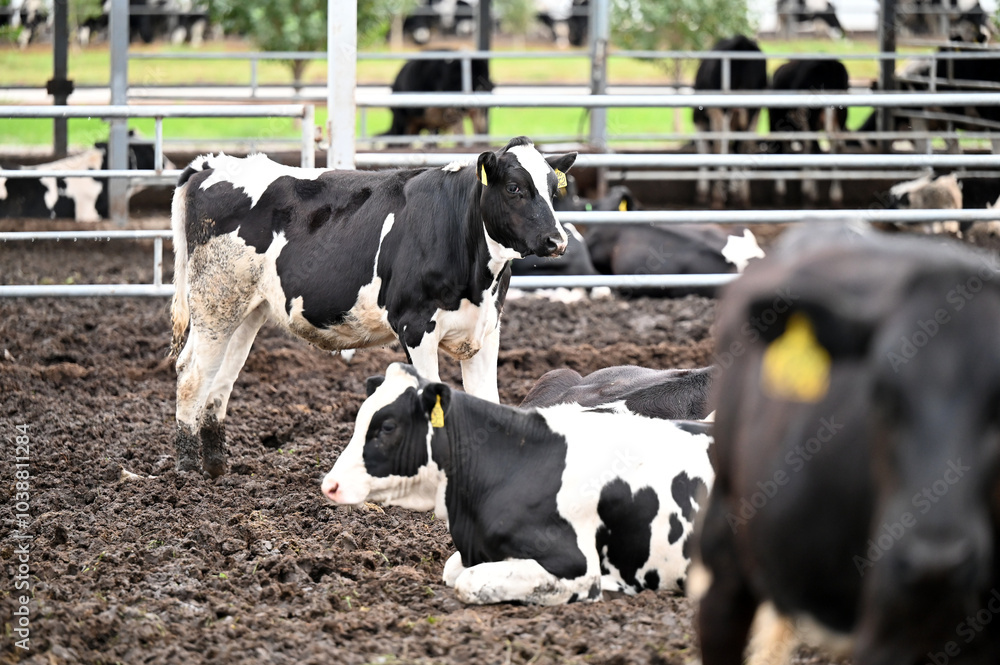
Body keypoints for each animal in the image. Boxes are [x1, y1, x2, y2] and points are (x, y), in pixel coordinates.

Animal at [169, 136, 575, 477]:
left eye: (553, 189)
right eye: (514, 187)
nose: (557, 240)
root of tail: (211, 165)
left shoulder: (486, 330)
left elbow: (486, 402)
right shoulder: (414, 326)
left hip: (245, 310)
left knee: (221, 377)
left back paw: (217, 465)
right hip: (214, 301)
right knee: (191, 373)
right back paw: (187, 467)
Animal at [693, 35, 769, 208]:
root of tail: (742, 42)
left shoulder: (700, 120)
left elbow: (704, 149)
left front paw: (702, 193)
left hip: (721, 110)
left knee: (721, 145)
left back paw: (717, 198)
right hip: (753, 112)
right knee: (744, 146)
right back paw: (742, 197)